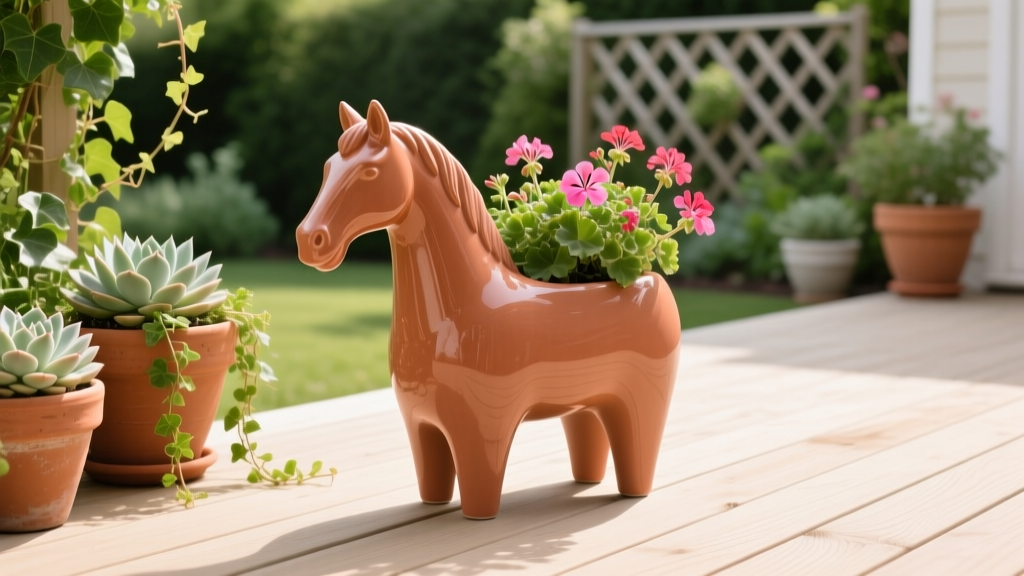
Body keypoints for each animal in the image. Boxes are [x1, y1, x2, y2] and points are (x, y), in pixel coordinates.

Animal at [296, 100, 681, 519]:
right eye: (328, 168)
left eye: (370, 171)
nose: (309, 240)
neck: (454, 311)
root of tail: (649, 279)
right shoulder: (419, 425)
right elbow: (430, 478)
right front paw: (433, 504)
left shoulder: (482, 426)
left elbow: (480, 481)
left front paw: (478, 517)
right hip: (588, 400)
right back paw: (586, 481)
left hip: (644, 401)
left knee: (640, 451)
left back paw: (634, 493)